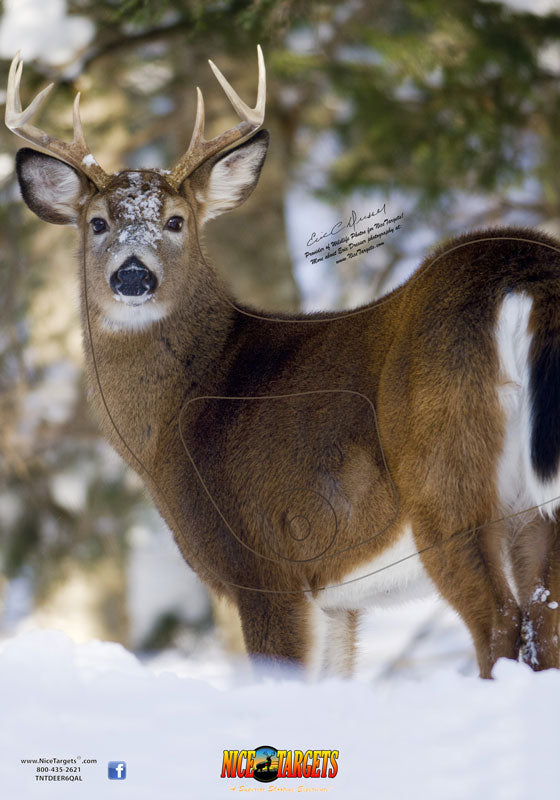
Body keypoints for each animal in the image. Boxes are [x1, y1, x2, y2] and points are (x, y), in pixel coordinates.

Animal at [5, 48, 560, 680]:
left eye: (176, 220)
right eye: (96, 222)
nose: (133, 275)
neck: (178, 416)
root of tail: (519, 273)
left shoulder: (263, 561)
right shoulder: (337, 598)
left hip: (445, 470)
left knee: (500, 623)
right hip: (533, 506)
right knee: (543, 626)